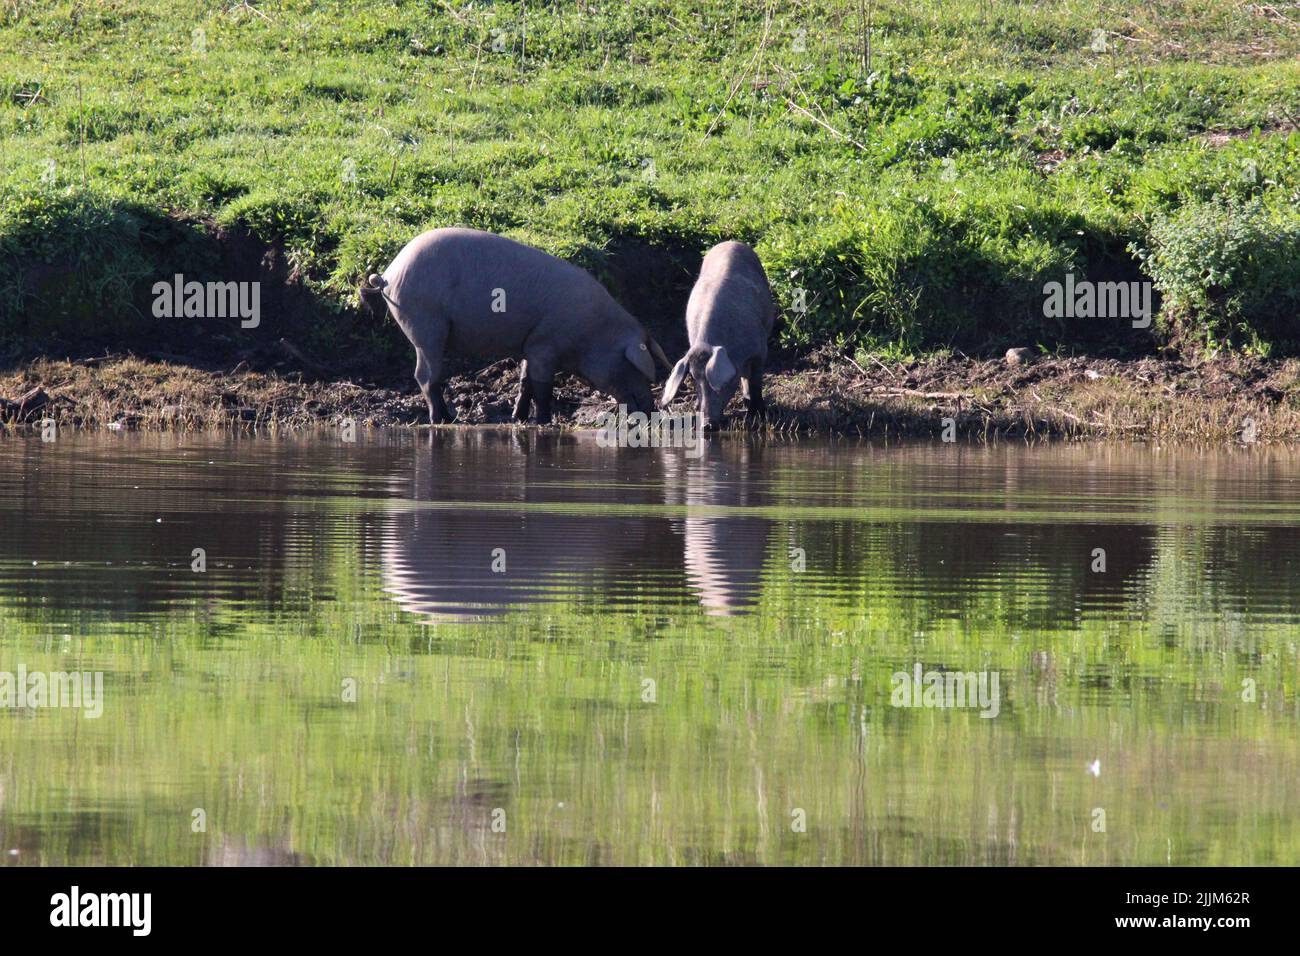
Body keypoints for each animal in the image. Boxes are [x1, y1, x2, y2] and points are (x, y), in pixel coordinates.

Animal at [359, 228, 670, 424]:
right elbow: (543, 385)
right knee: (425, 375)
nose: (651, 410)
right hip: (426, 326)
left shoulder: (530, 345)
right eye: (634, 366)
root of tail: (388, 274)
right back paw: (444, 419)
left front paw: (517, 418)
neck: (592, 333)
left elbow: (525, 382)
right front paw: (544, 421)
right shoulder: (546, 345)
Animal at [659, 241, 775, 429]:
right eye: (693, 377)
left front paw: (758, 414)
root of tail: (730, 242)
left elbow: (756, 382)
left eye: (711, 381)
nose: (706, 425)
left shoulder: (760, 350)